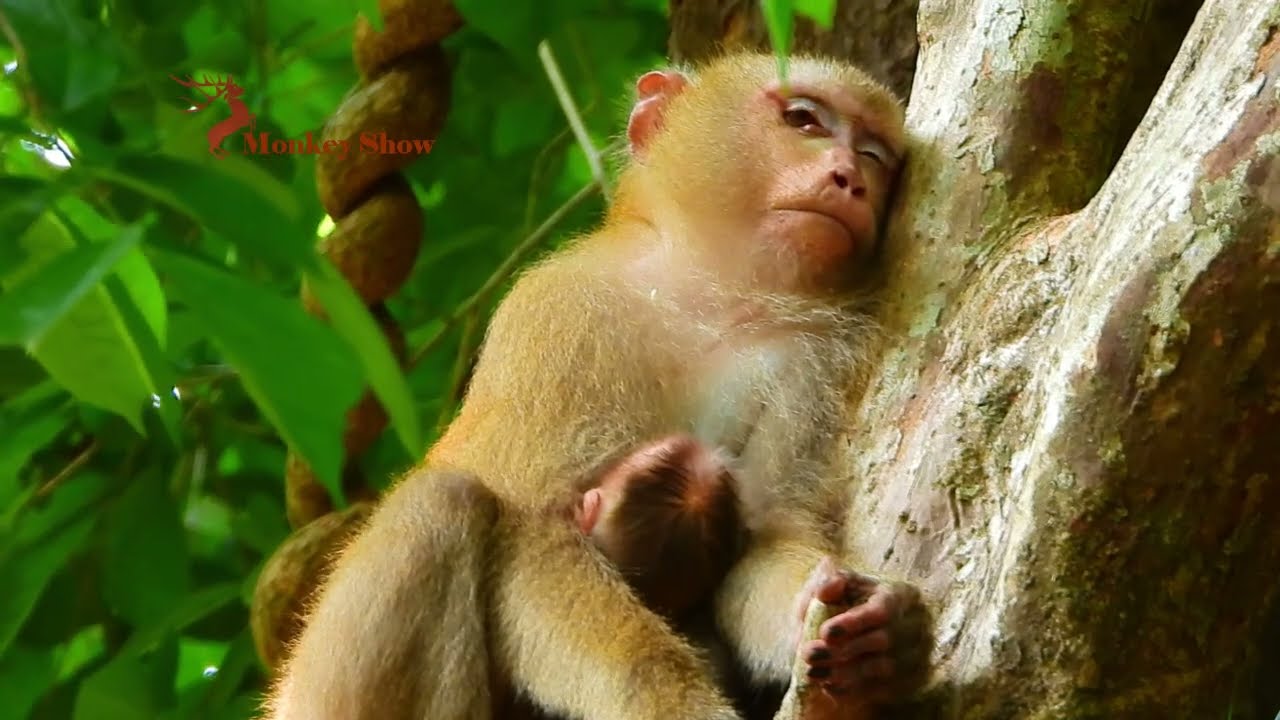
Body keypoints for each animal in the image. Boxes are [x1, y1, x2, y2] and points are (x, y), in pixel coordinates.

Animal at [264, 50, 933, 720]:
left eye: (874, 155)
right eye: (804, 120)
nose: (849, 178)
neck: (713, 296)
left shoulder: (814, 359)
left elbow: (770, 532)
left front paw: (870, 639)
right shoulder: (562, 309)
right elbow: (538, 532)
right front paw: (675, 701)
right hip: (317, 694)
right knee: (438, 502)